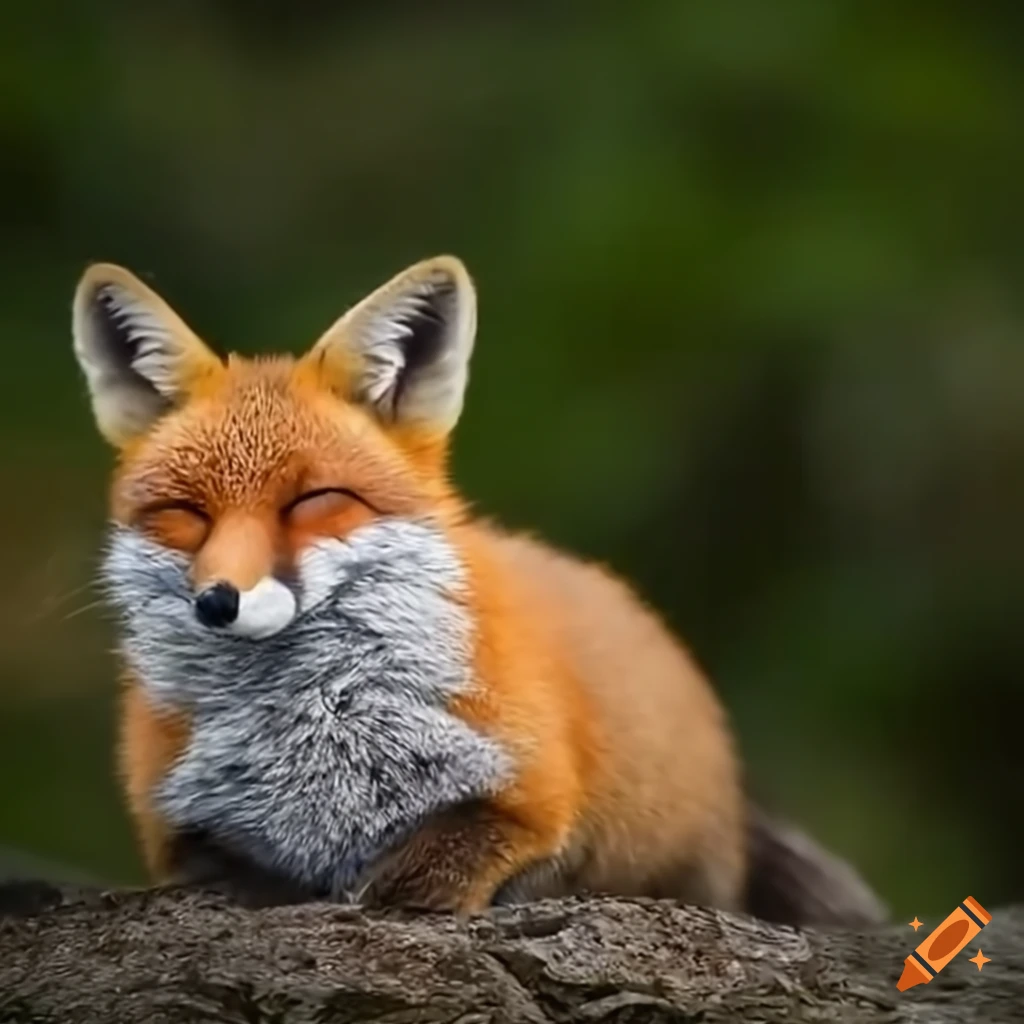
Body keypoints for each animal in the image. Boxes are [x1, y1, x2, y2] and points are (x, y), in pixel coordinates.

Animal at [71, 255, 885, 924]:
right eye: (186, 512)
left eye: (312, 501)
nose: (219, 601)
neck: (317, 737)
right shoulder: (180, 830)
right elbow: (232, 873)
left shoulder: (534, 797)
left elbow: (423, 875)